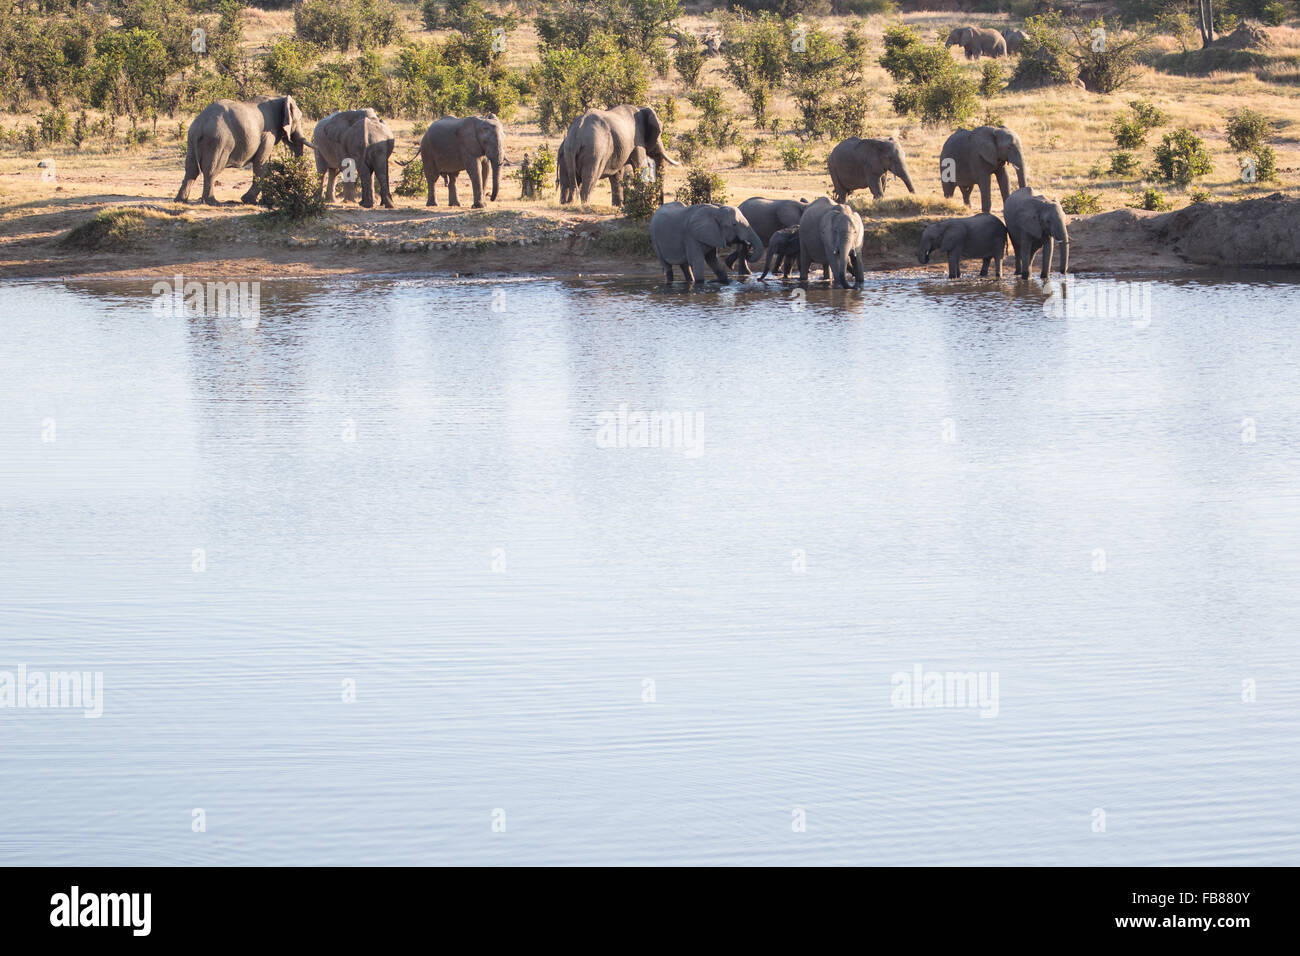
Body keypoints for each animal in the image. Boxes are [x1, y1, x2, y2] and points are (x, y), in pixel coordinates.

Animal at [175, 95, 311, 205]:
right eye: (299, 120)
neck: (279, 98)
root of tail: (200, 125)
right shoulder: (268, 133)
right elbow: (262, 164)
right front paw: (249, 201)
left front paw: (267, 201)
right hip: (218, 142)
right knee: (212, 170)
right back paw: (213, 202)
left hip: (192, 140)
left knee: (191, 170)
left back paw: (181, 201)